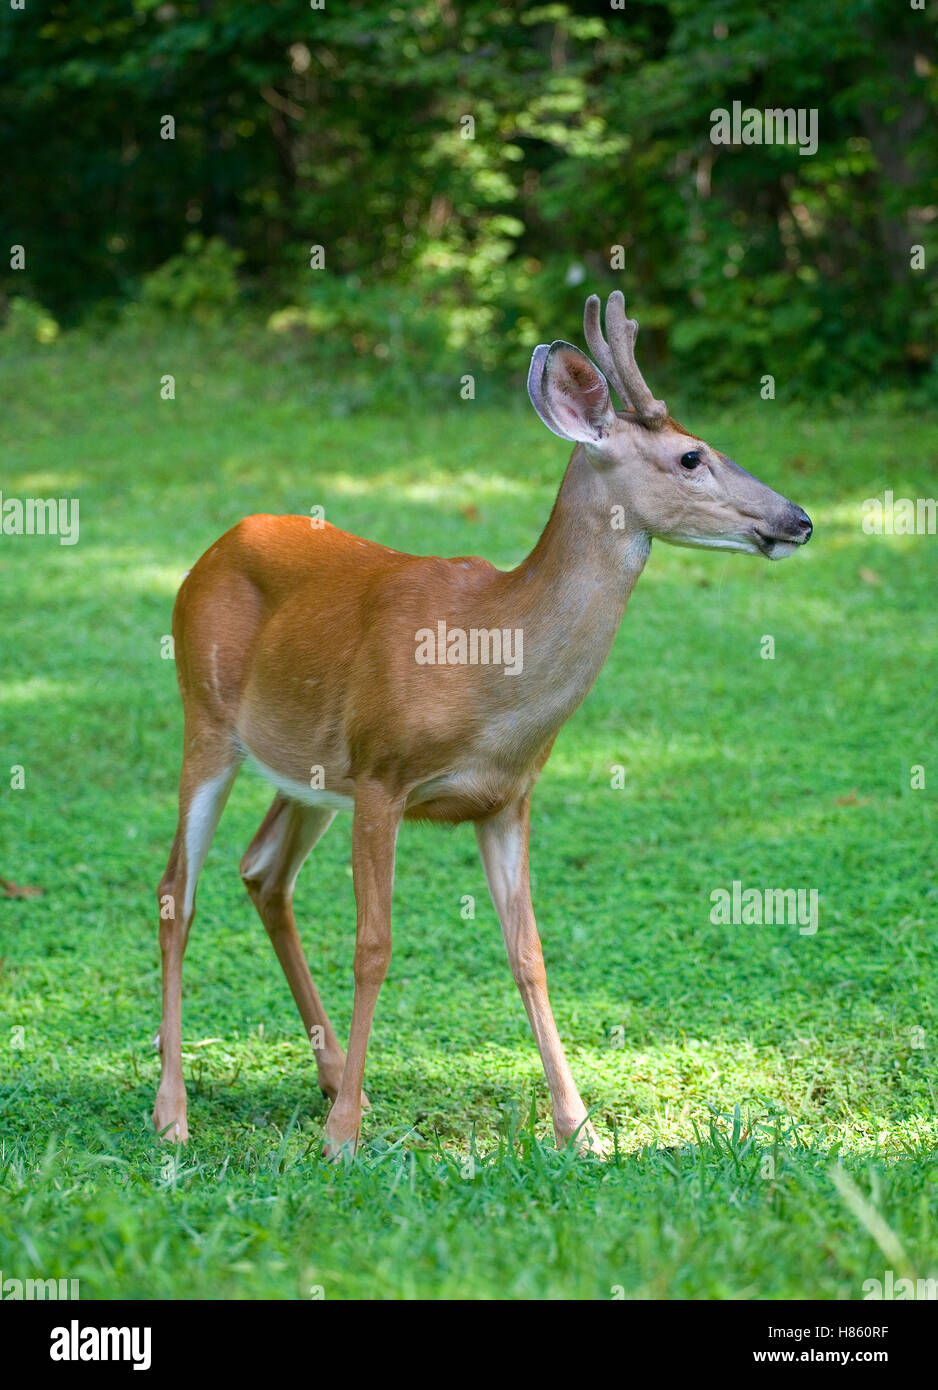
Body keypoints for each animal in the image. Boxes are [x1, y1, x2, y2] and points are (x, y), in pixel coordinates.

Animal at [153, 291, 812, 1158]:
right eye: (691, 457)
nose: (798, 518)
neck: (491, 664)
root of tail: (211, 551)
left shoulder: (506, 797)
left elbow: (527, 953)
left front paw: (580, 1128)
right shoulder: (383, 771)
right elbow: (374, 945)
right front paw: (343, 1137)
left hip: (308, 767)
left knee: (263, 871)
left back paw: (324, 1072)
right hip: (207, 720)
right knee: (176, 890)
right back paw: (173, 1112)